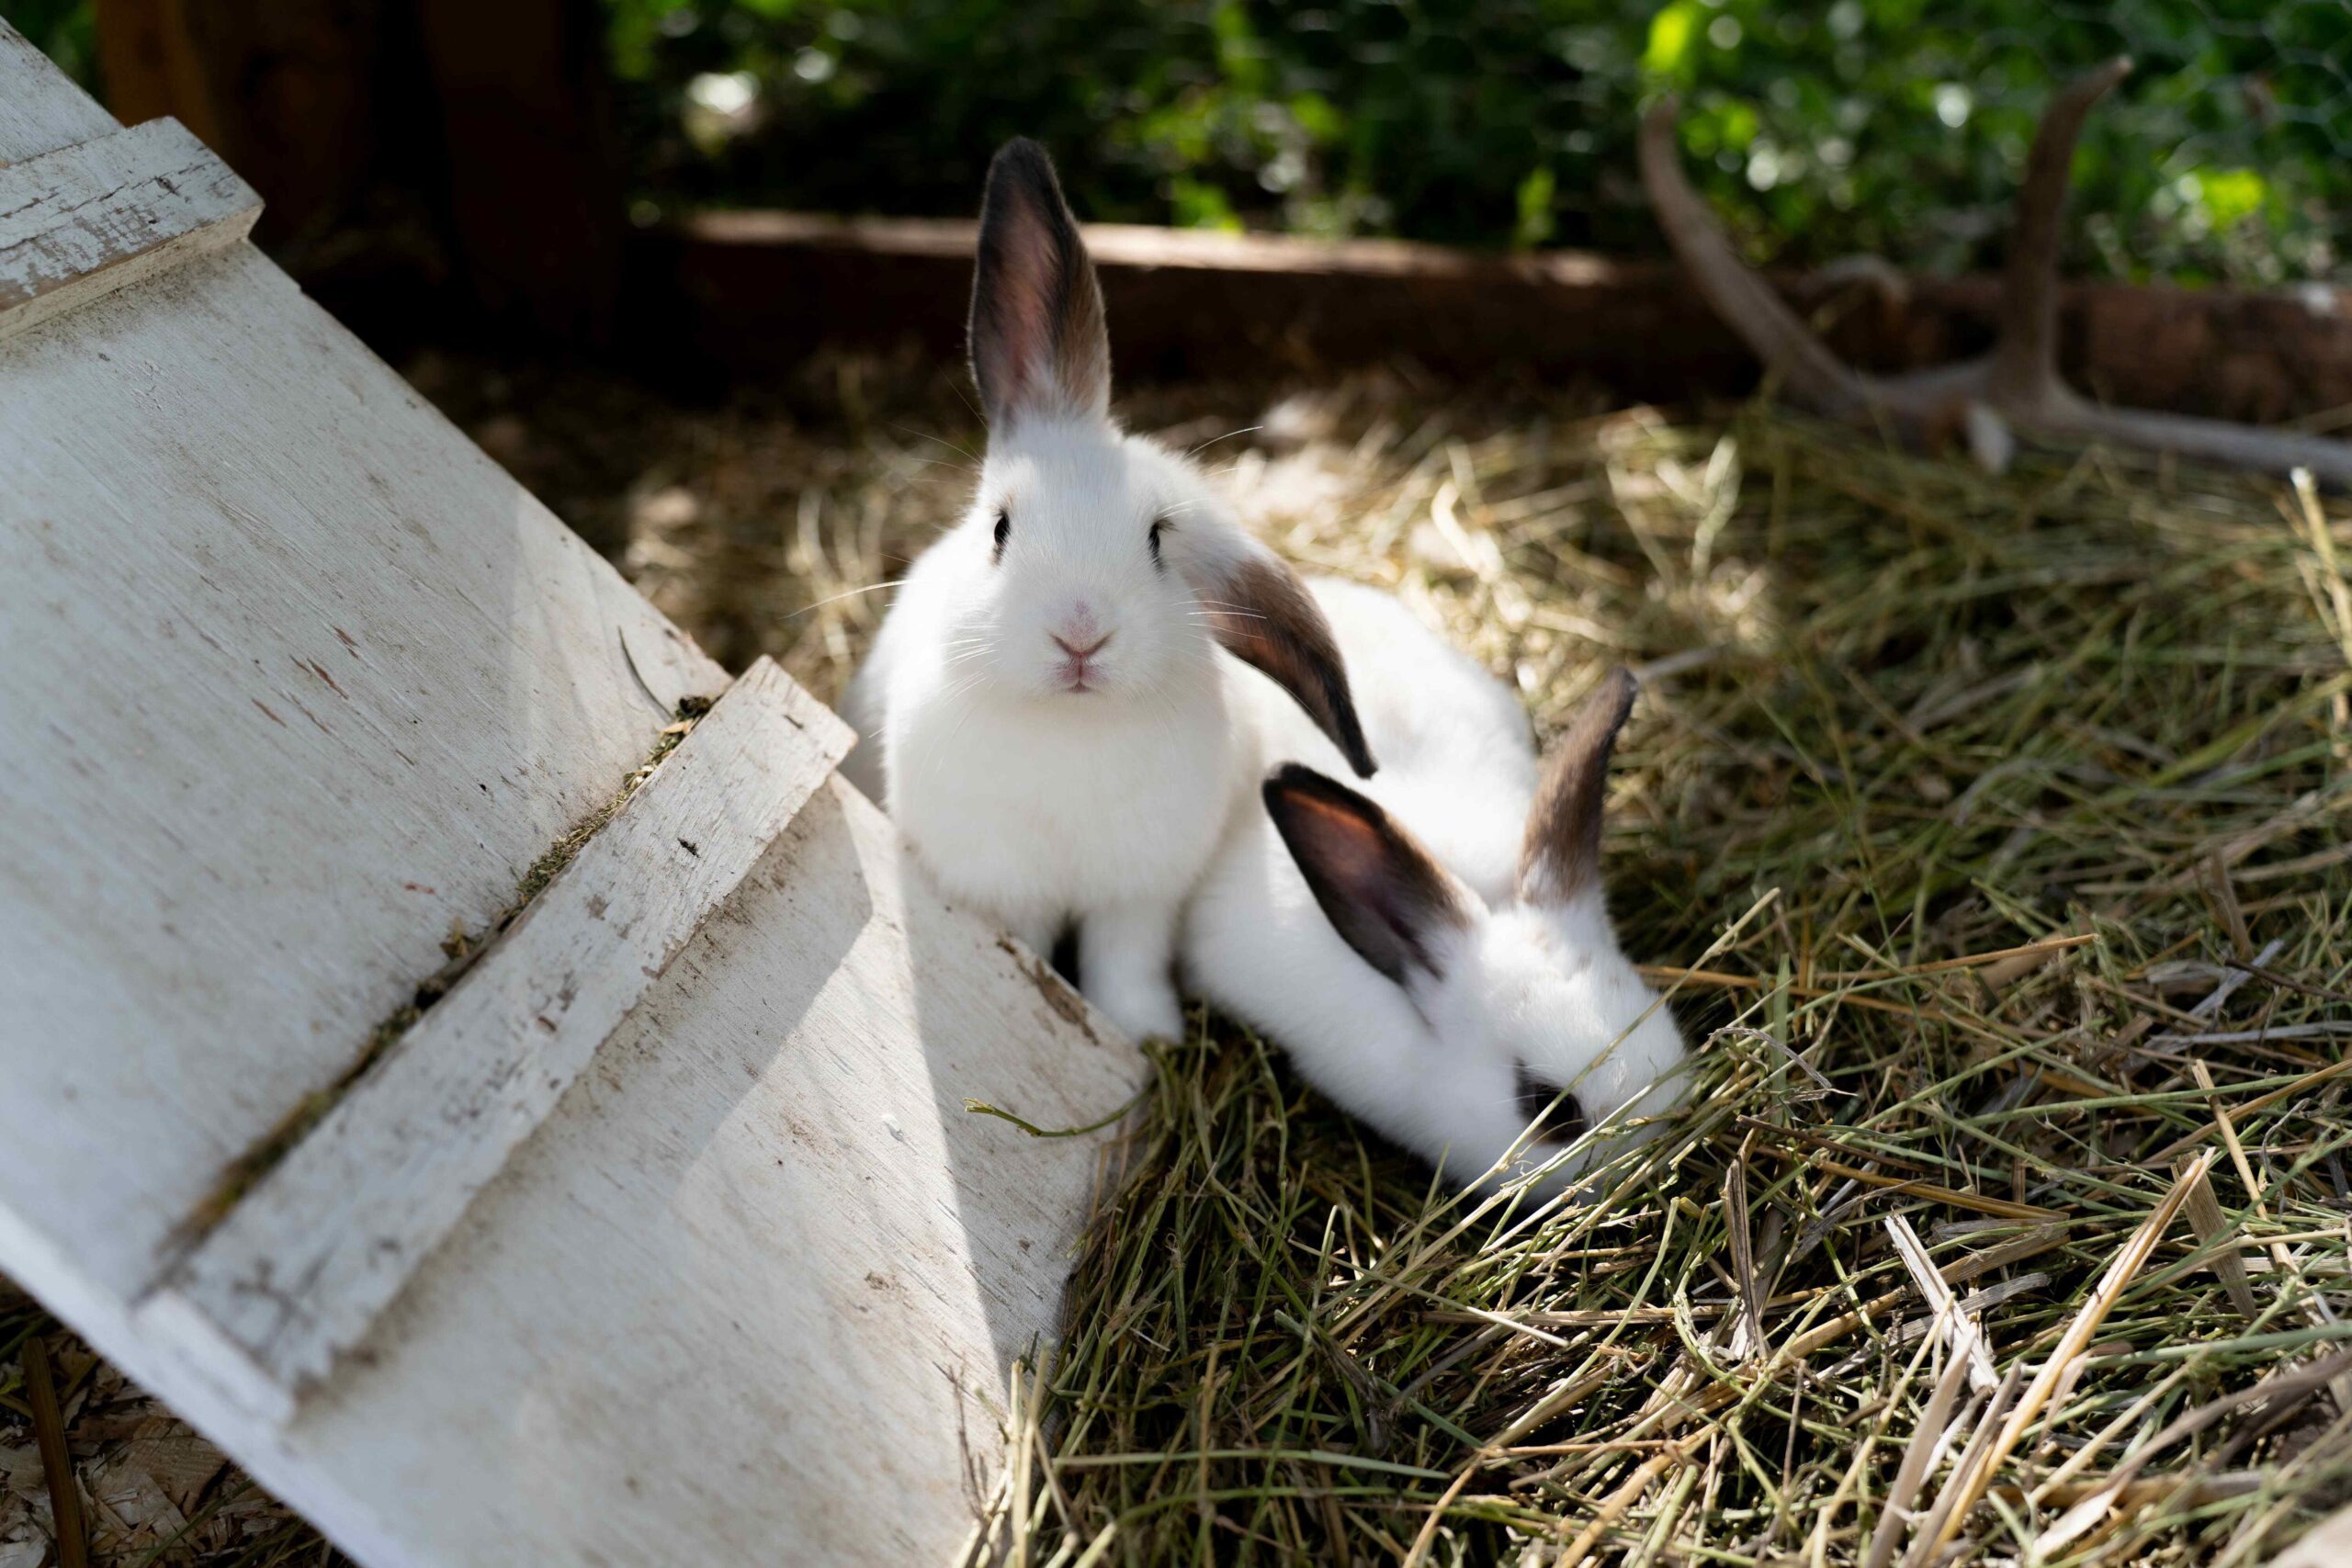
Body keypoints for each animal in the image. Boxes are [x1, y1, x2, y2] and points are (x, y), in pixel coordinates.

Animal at [838, 139, 1374, 1043]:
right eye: (1000, 529)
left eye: (1157, 540)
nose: (1081, 634)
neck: (1073, 732)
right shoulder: (1006, 890)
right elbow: (1026, 956)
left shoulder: (1140, 895)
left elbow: (1126, 964)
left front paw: (1148, 1034)